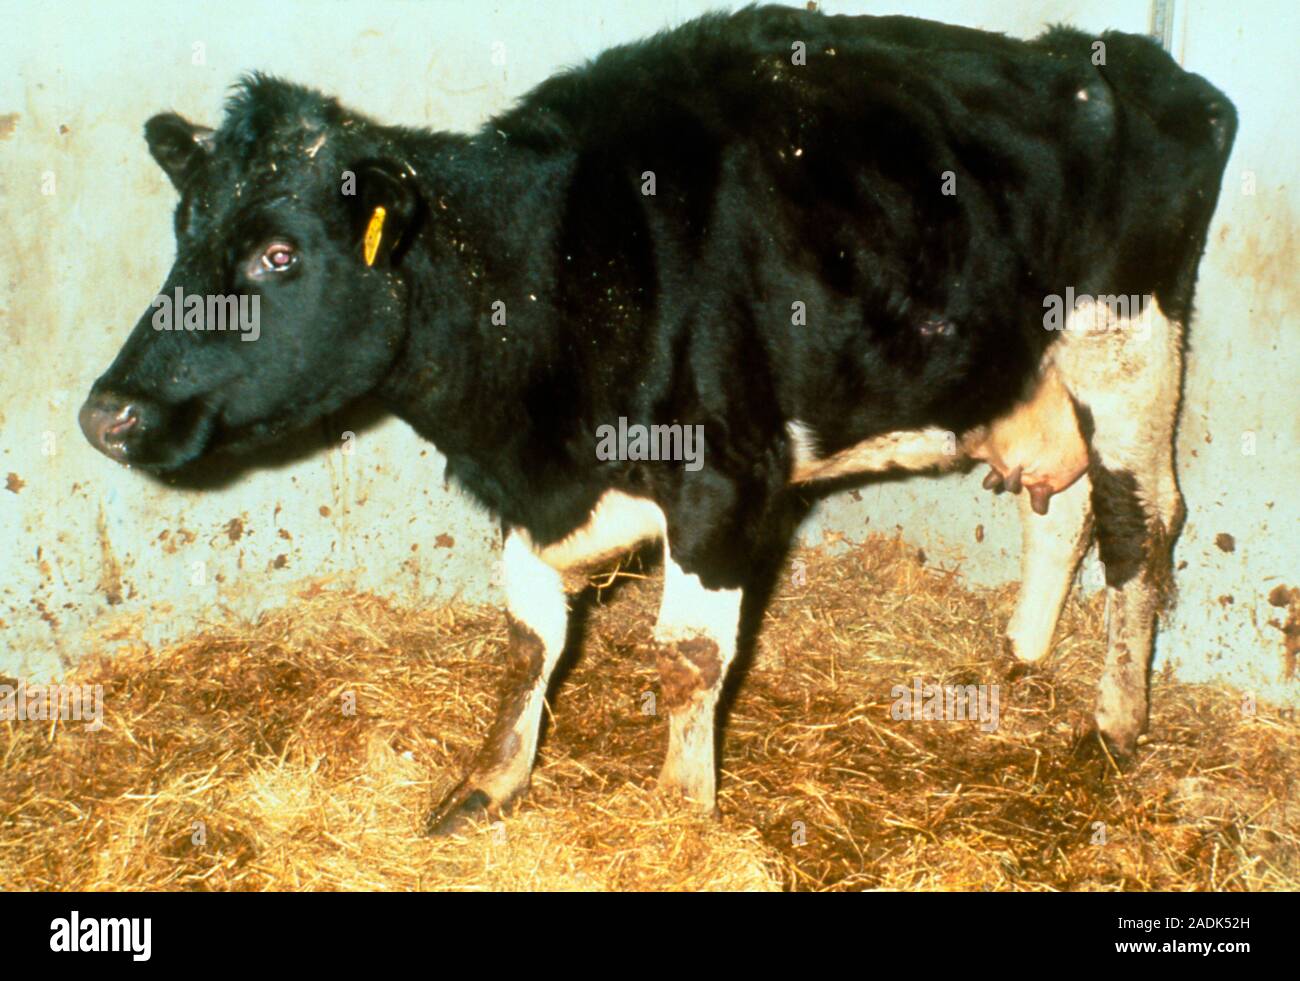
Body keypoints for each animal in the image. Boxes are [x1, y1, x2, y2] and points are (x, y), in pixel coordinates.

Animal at [78, 5, 1236, 835]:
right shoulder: (545, 489)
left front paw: (682, 815)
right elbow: (527, 638)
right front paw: (486, 786)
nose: (106, 411)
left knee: (1140, 525)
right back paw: (1021, 654)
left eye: (278, 254)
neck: (565, 270)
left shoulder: (725, 484)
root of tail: (1129, 60)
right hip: (1034, 367)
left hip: (1129, 338)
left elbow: (685, 656)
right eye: (184, 231)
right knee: (1066, 501)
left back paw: (1113, 724)